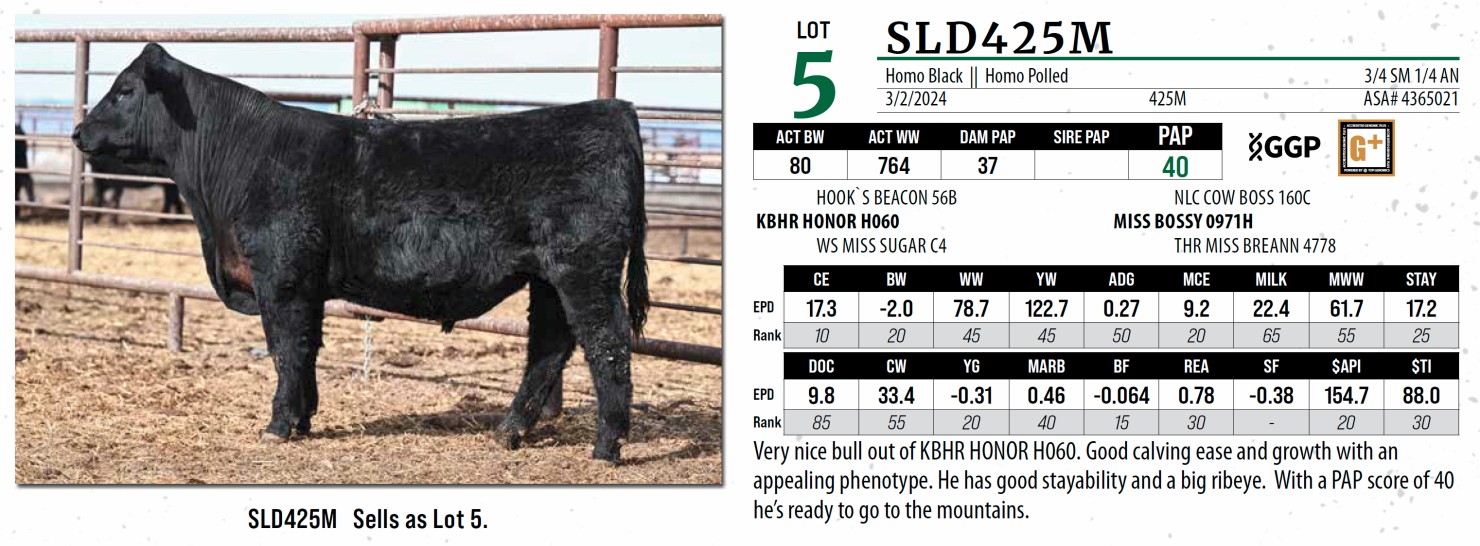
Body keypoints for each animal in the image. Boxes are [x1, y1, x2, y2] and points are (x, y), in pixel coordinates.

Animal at [73, 43, 649, 462]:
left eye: (124, 90)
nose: (78, 132)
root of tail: (613, 110)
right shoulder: (305, 285)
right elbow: (306, 350)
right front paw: (303, 420)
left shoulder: (281, 277)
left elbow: (285, 349)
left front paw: (277, 426)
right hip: (549, 278)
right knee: (550, 347)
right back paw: (508, 432)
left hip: (584, 269)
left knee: (607, 344)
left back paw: (606, 446)